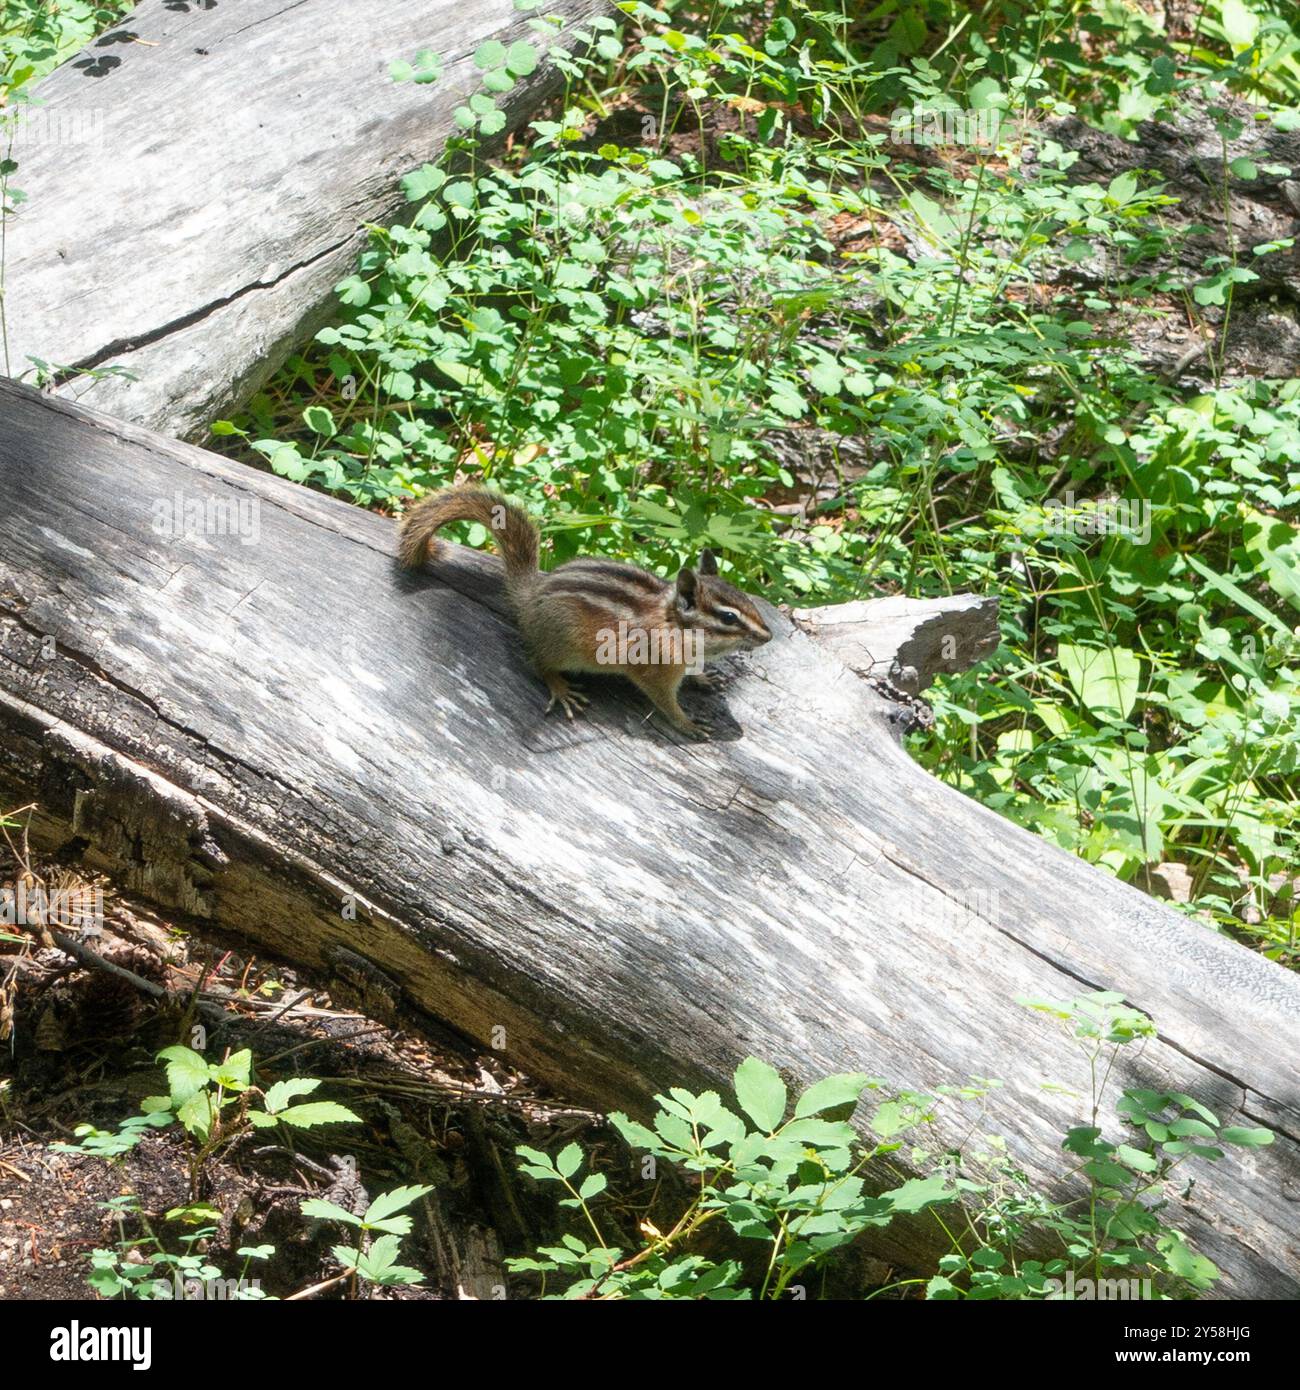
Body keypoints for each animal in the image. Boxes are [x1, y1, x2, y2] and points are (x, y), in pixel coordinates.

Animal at [398, 484, 772, 738]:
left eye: (748, 599)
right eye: (728, 618)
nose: (769, 636)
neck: (674, 627)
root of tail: (532, 595)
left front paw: (706, 678)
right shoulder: (656, 673)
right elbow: (666, 703)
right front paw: (689, 724)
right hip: (565, 646)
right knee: (537, 663)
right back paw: (561, 689)